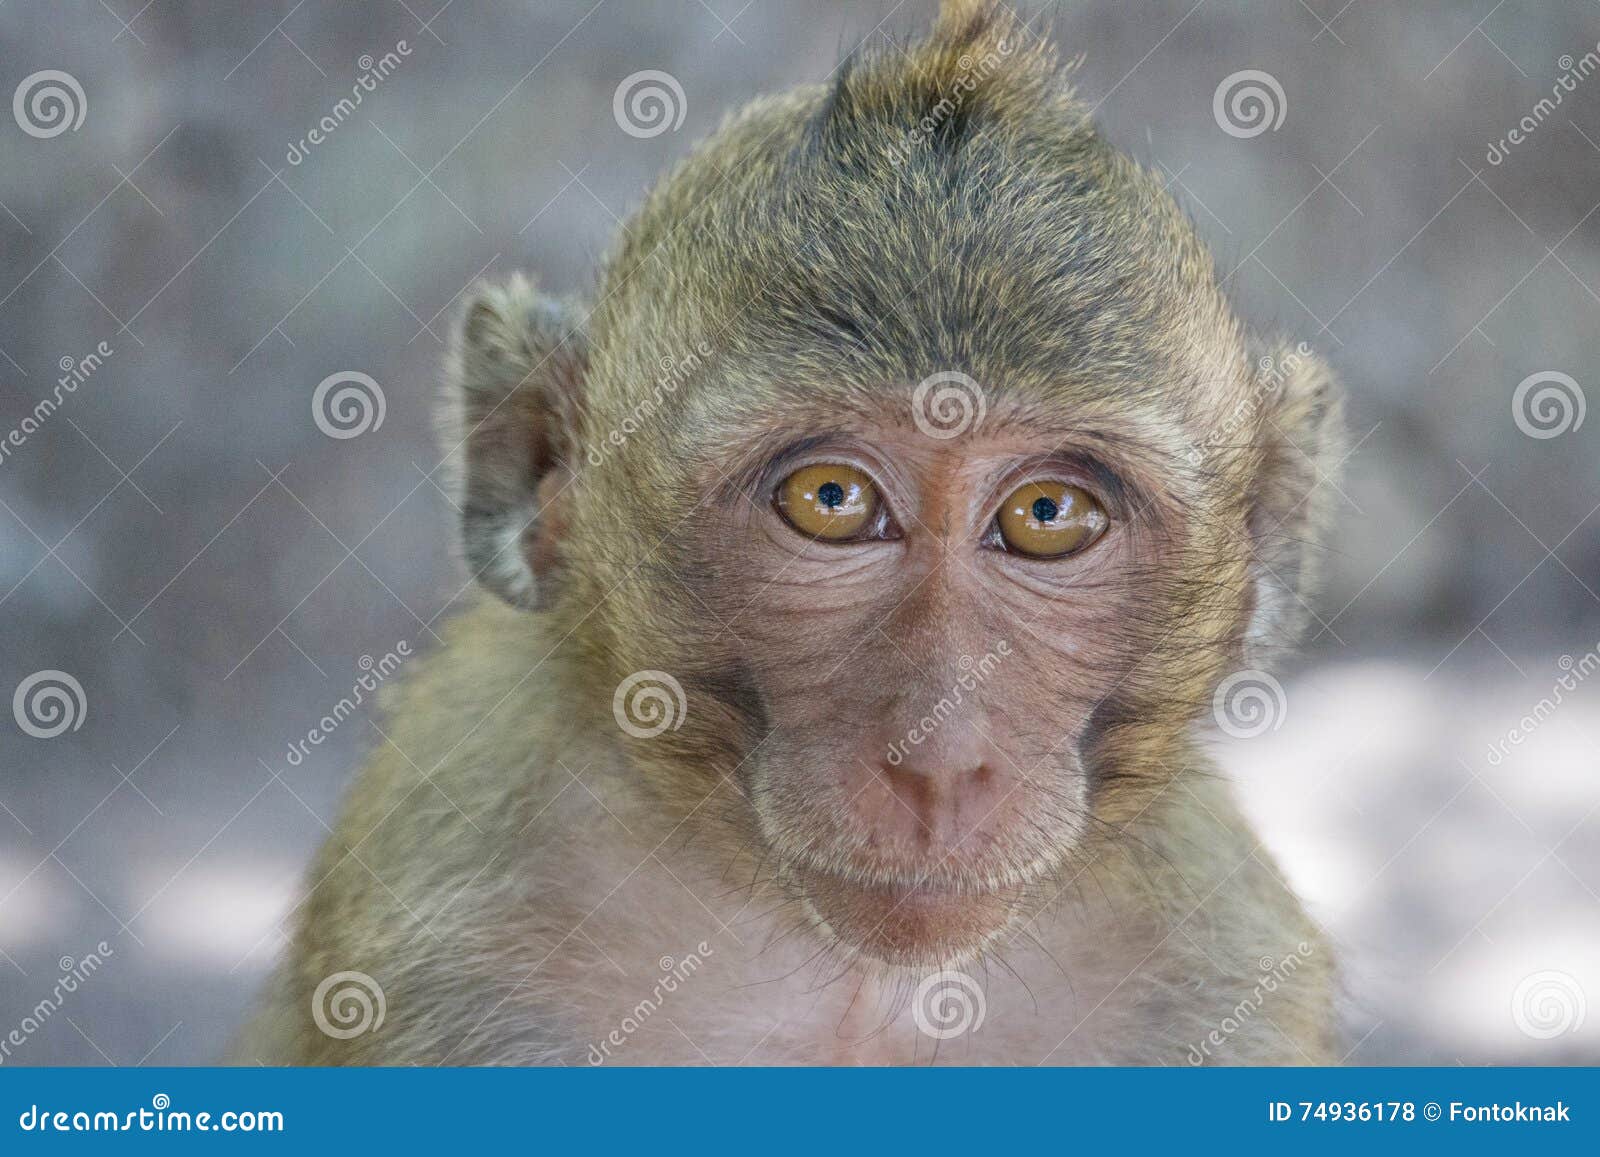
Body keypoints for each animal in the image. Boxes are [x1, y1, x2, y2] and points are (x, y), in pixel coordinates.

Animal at [238, 0, 1345, 1066]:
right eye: (831, 499)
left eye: (1046, 516)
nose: (941, 762)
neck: (860, 983)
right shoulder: (445, 942)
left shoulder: (1219, 968)